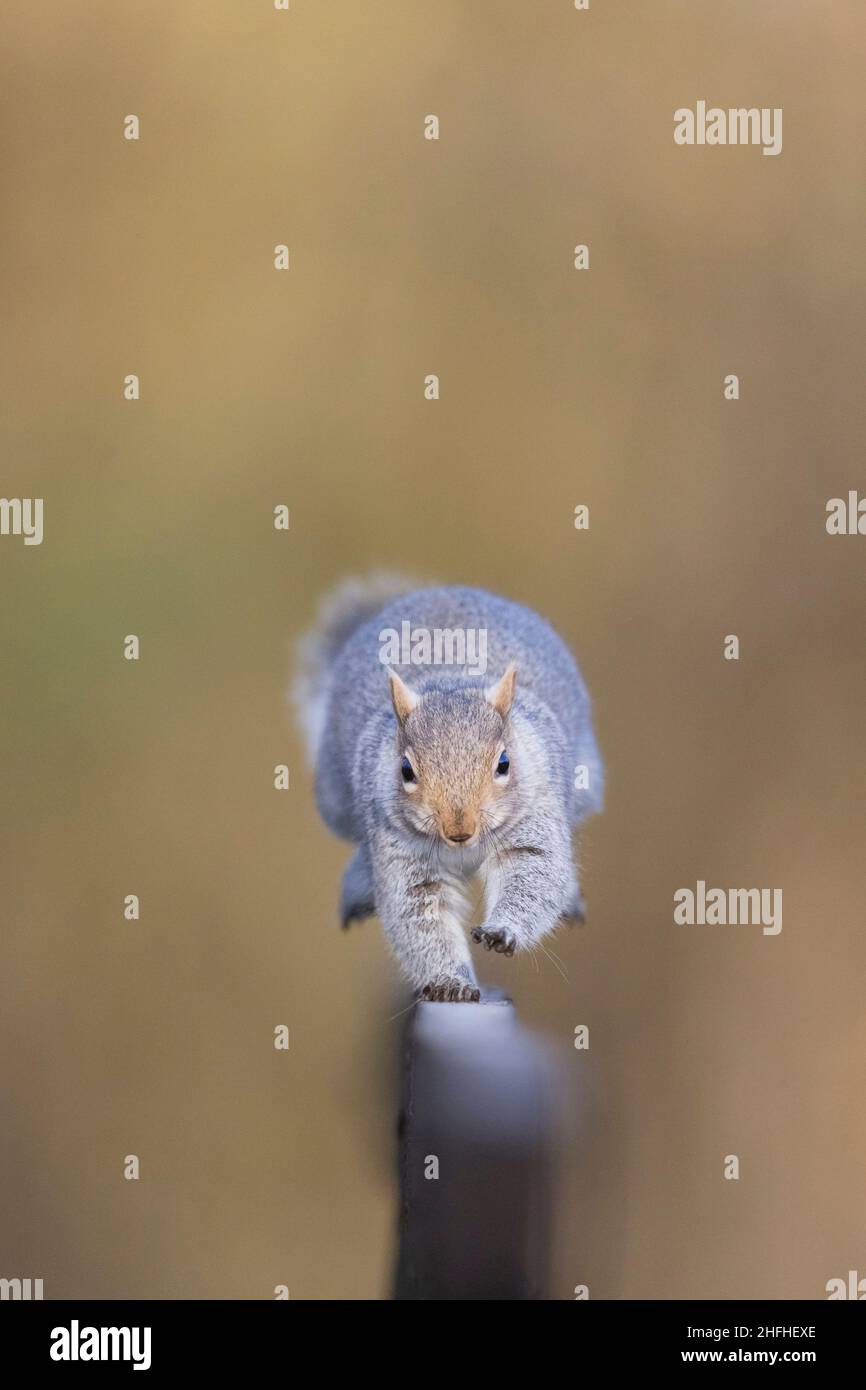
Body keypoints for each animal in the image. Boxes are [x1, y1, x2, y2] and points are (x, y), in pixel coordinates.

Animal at [293, 577, 604, 1002]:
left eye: (504, 764)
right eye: (406, 770)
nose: (460, 830)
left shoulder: (535, 812)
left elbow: (534, 871)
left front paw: (502, 932)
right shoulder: (399, 846)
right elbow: (419, 911)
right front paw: (449, 982)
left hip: (587, 782)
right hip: (335, 802)